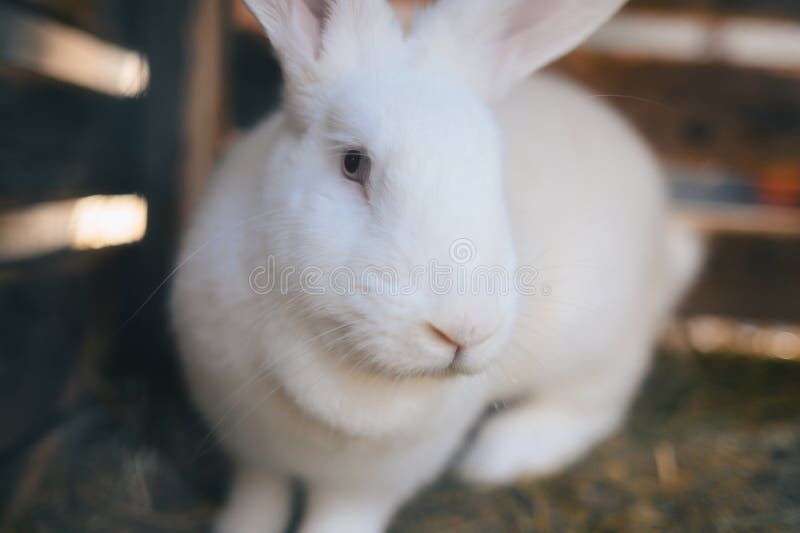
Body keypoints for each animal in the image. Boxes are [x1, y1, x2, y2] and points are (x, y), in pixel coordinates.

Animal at [169, 0, 702, 532]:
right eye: (353, 163)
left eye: (495, 172)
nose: (465, 329)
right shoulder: (254, 450)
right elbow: (257, 499)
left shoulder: (369, 484)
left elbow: (337, 520)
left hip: (600, 342)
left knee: (596, 402)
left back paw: (499, 454)